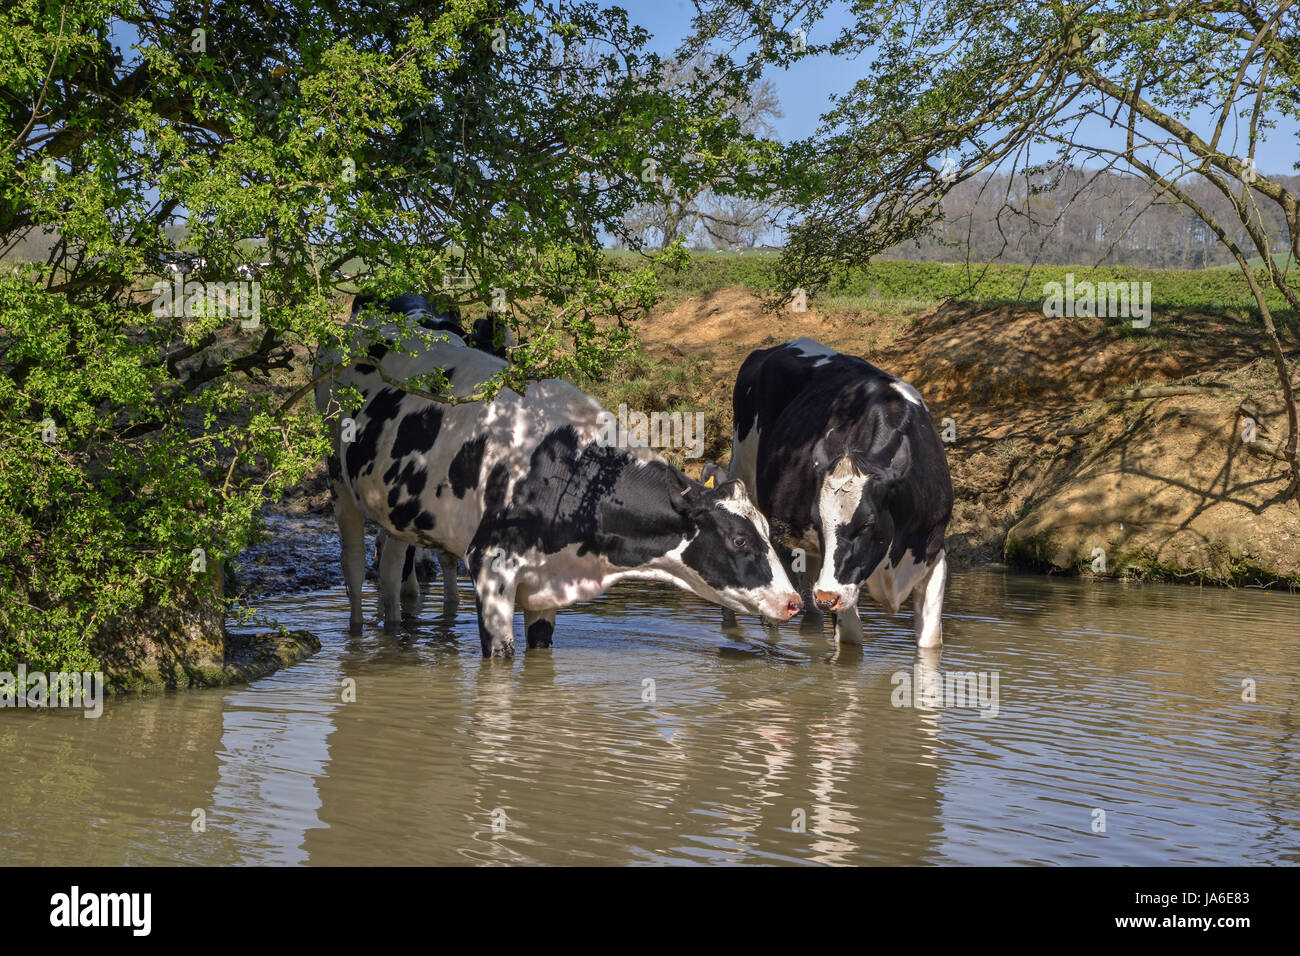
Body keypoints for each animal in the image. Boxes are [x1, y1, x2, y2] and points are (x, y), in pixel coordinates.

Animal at [315, 295, 803, 656]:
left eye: (766, 533)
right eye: (739, 540)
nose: (794, 602)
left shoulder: (545, 588)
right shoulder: (490, 569)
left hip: (396, 504)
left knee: (392, 565)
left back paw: (394, 633)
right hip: (340, 483)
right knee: (354, 569)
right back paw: (357, 637)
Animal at [727, 338, 953, 648]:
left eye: (868, 523)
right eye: (819, 522)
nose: (826, 597)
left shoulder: (934, 554)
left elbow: (930, 642)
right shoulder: (842, 589)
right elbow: (851, 644)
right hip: (740, 469)